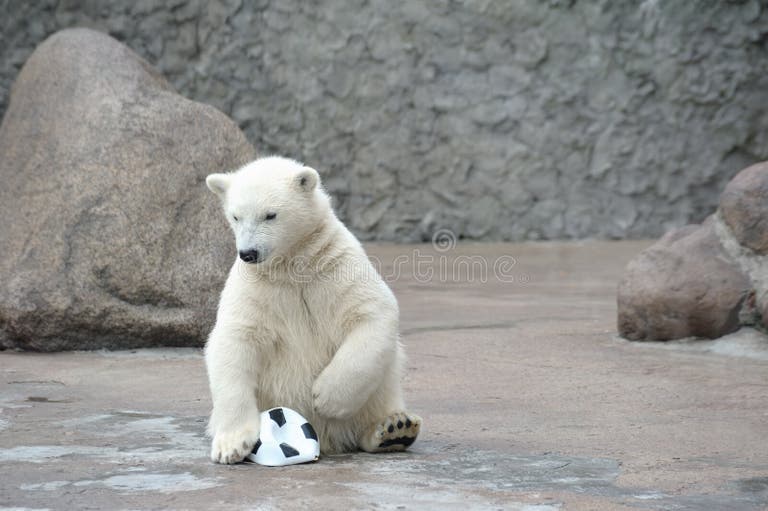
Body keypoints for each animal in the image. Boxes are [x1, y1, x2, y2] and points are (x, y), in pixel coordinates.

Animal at [204, 156, 421, 464]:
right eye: (235, 216)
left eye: (270, 215)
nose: (248, 253)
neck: (292, 264)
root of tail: (327, 437)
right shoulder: (254, 287)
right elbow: (234, 340)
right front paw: (231, 445)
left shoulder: (335, 265)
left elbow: (372, 311)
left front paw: (327, 398)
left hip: (380, 387)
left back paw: (393, 428)